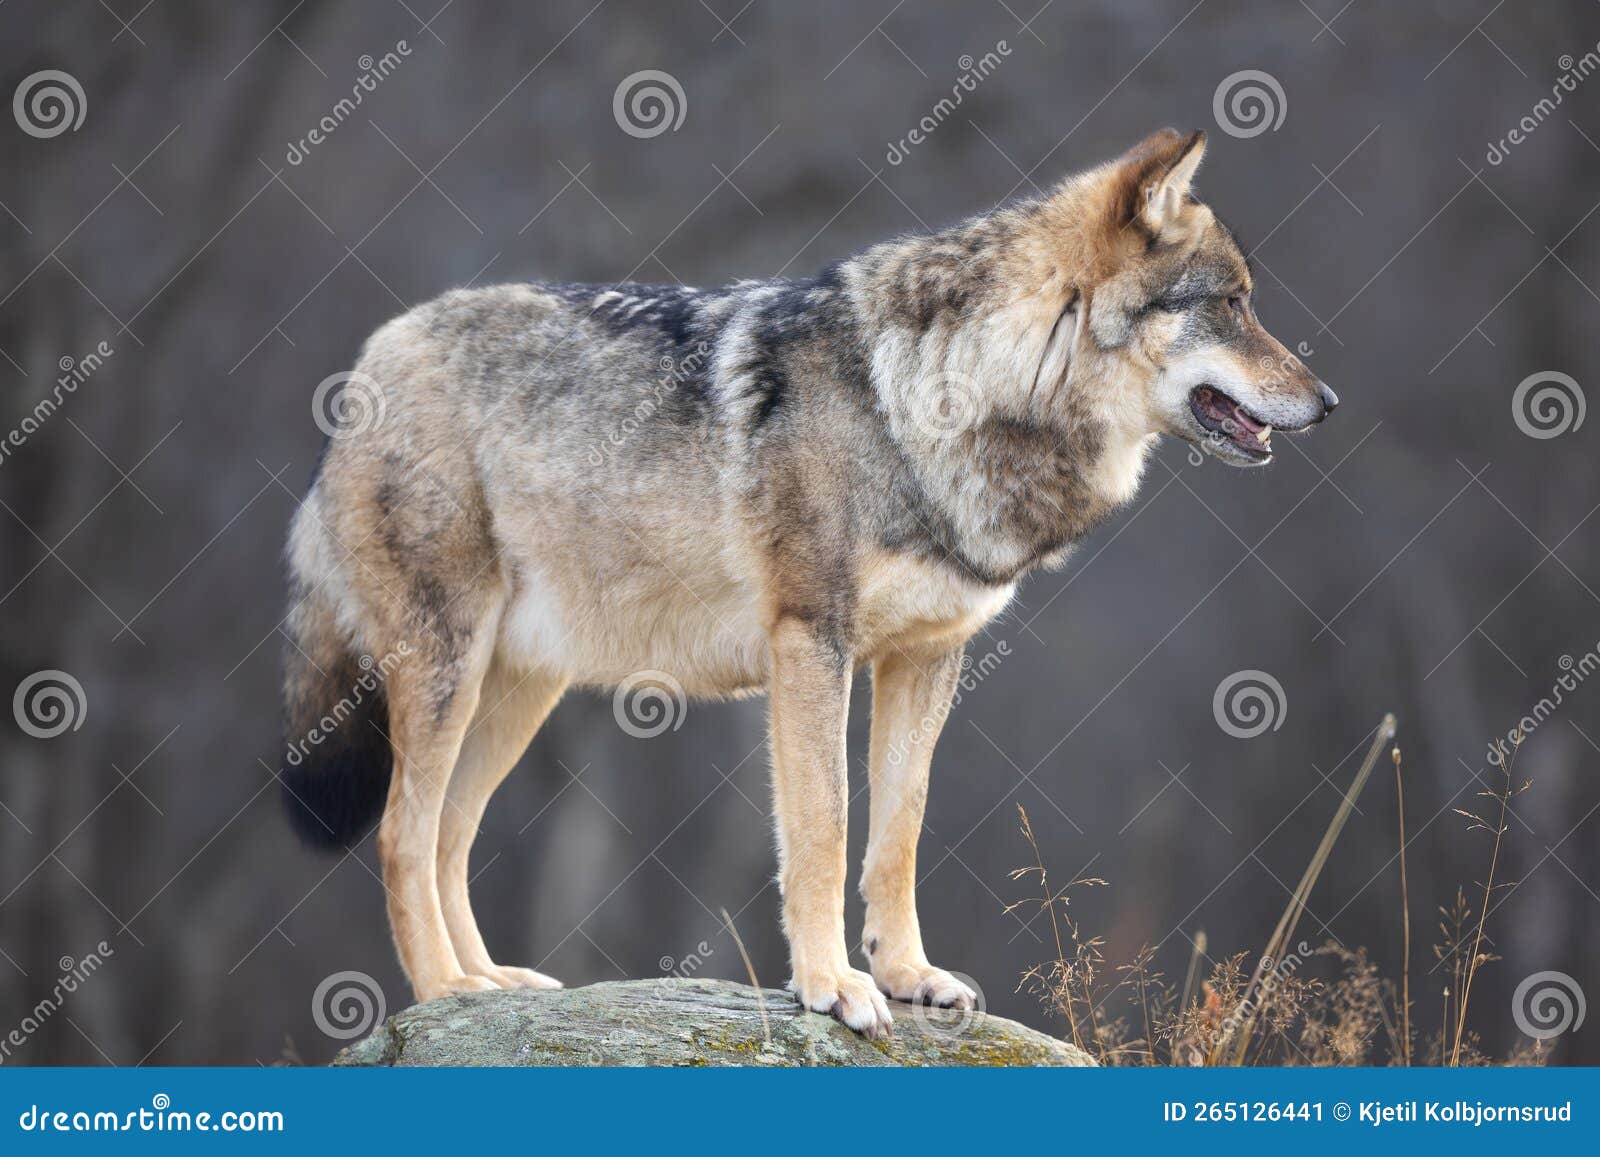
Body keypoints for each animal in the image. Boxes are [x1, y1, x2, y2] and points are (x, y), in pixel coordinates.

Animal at [281, 128, 1336, 1039]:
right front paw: (834, 987)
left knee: (449, 838)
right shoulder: (810, 643)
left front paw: (907, 976)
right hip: (449, 673)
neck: (935, 397)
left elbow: (898, 834)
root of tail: (374, 351)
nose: (1328, 400)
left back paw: (488, 989)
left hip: (518, 693)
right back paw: (440, 995)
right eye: (1231, 303)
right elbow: (824, 835)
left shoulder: (928, 657)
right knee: (400, 836)